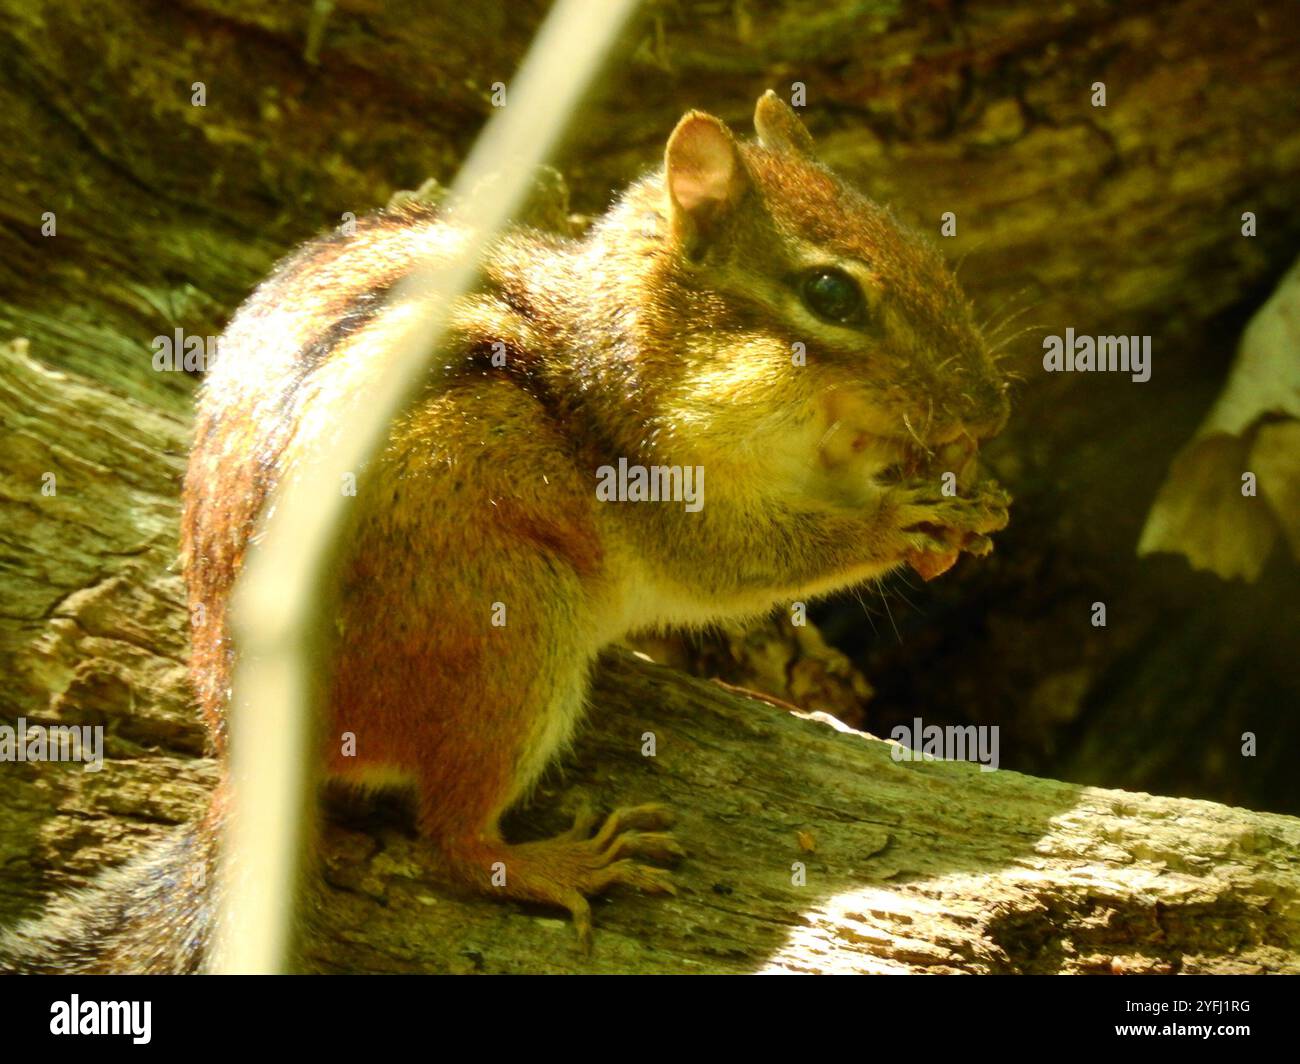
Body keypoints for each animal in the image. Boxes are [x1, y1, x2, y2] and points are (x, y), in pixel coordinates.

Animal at [0, 92, 1009, 972]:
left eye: (917, 240)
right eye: (833, 295)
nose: (989, 407)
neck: (618, 362)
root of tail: (254, 757)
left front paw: (970, 497)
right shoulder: (664, 486)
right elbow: (746, 561)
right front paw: (901, 518)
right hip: (514, 634)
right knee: (447, 841)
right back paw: (563, 864)